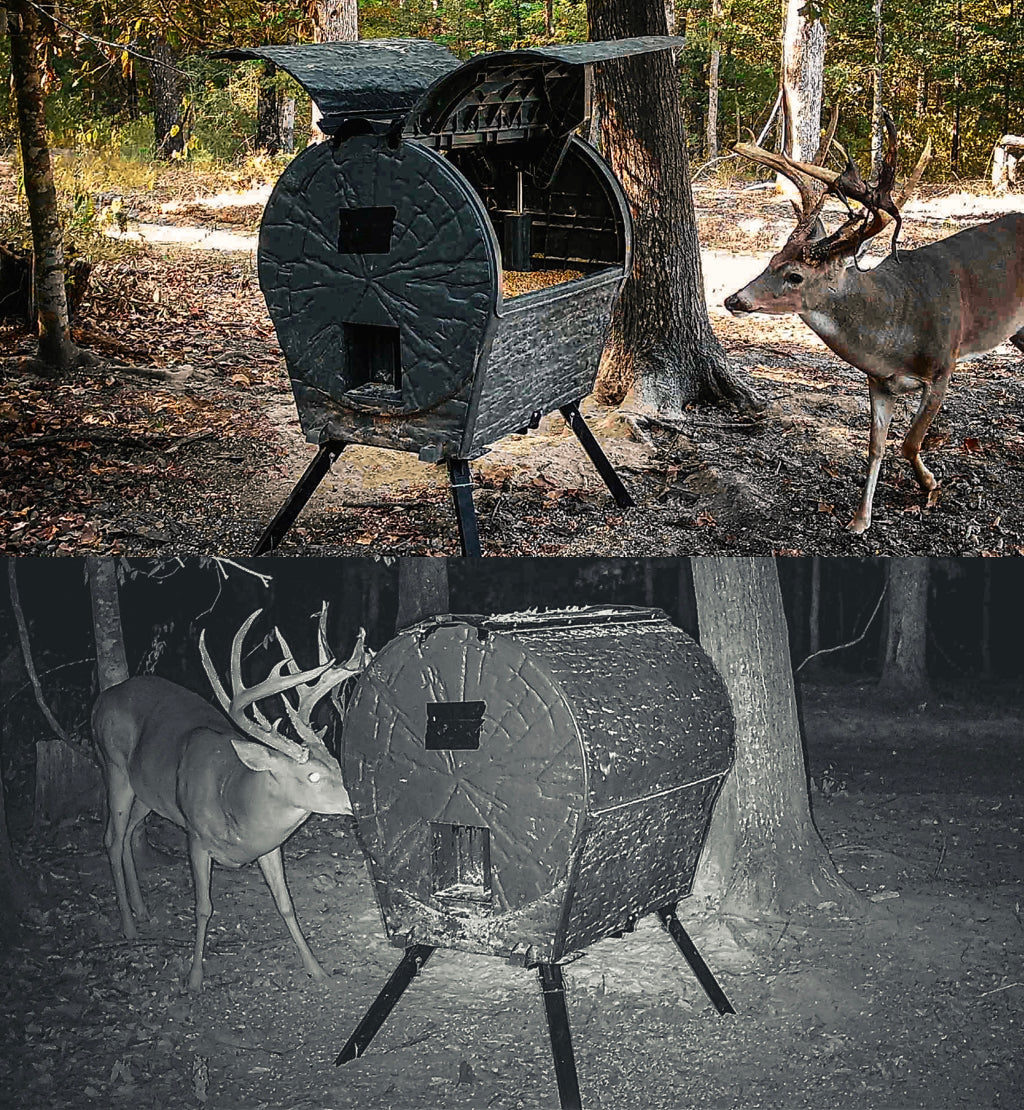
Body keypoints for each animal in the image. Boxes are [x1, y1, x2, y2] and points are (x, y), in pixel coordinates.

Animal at [92, 603, 372, 992]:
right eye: (312, 776)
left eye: (334, 760)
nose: (355, 798)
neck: (235, 802)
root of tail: (104, 697)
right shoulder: (195, 837)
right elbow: (203, 907)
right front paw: (195, 978)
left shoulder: (270, 846)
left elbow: (285, 903)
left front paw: (316, 969)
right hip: (114, 766)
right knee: (112, 838)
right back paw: (129, 926)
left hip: (147, 791)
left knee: (131, 832)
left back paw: (143, 911)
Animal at [724, 109, 1024, 533]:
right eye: (771, 260)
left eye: (795, 276)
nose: (734, 299)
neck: (893, 334)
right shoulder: (878, 381)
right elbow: (875, 446)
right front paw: (860, 519)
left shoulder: (943, 366)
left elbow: (910, 442)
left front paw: (931, 486)